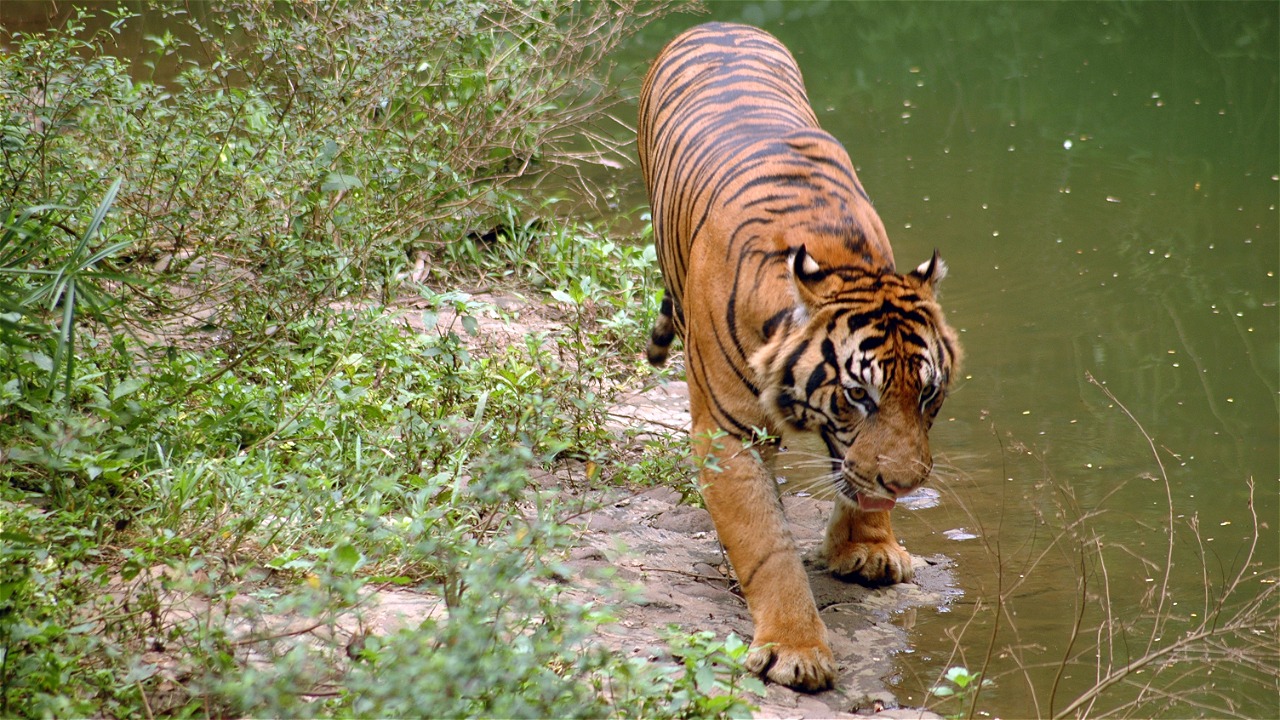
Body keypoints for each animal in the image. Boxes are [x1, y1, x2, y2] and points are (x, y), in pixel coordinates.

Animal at [637, 22, 961, 692]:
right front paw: (795, 650)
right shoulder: (726, 434)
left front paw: (870, 548)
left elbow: (853, 480)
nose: (906, 485)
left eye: (926, 393)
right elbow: (767, 545)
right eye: (858, 395)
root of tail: (717, 24)